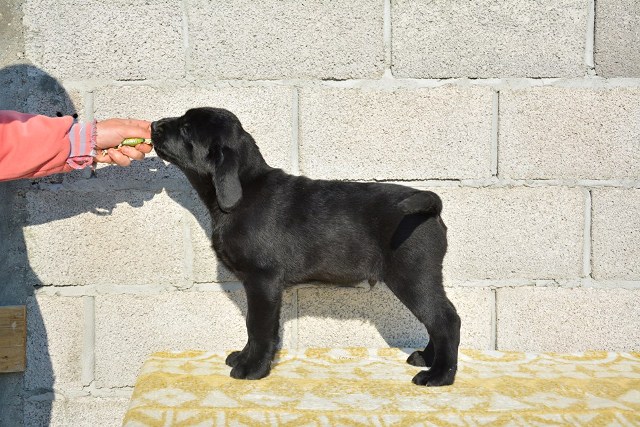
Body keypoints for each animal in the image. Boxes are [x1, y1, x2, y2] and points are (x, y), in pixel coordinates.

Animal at [150, 108, 460, 388]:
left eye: (187, 129)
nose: (153, 124)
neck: (242, 193)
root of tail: (431, 207)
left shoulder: (262, 281)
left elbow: (258, 326)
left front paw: (253, 369)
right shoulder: (261, 286)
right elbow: (254, 327)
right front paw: (244, 357)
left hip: (413, 276)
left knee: (445, 320)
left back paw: (439, 375)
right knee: (438, 319)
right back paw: (428, 359)